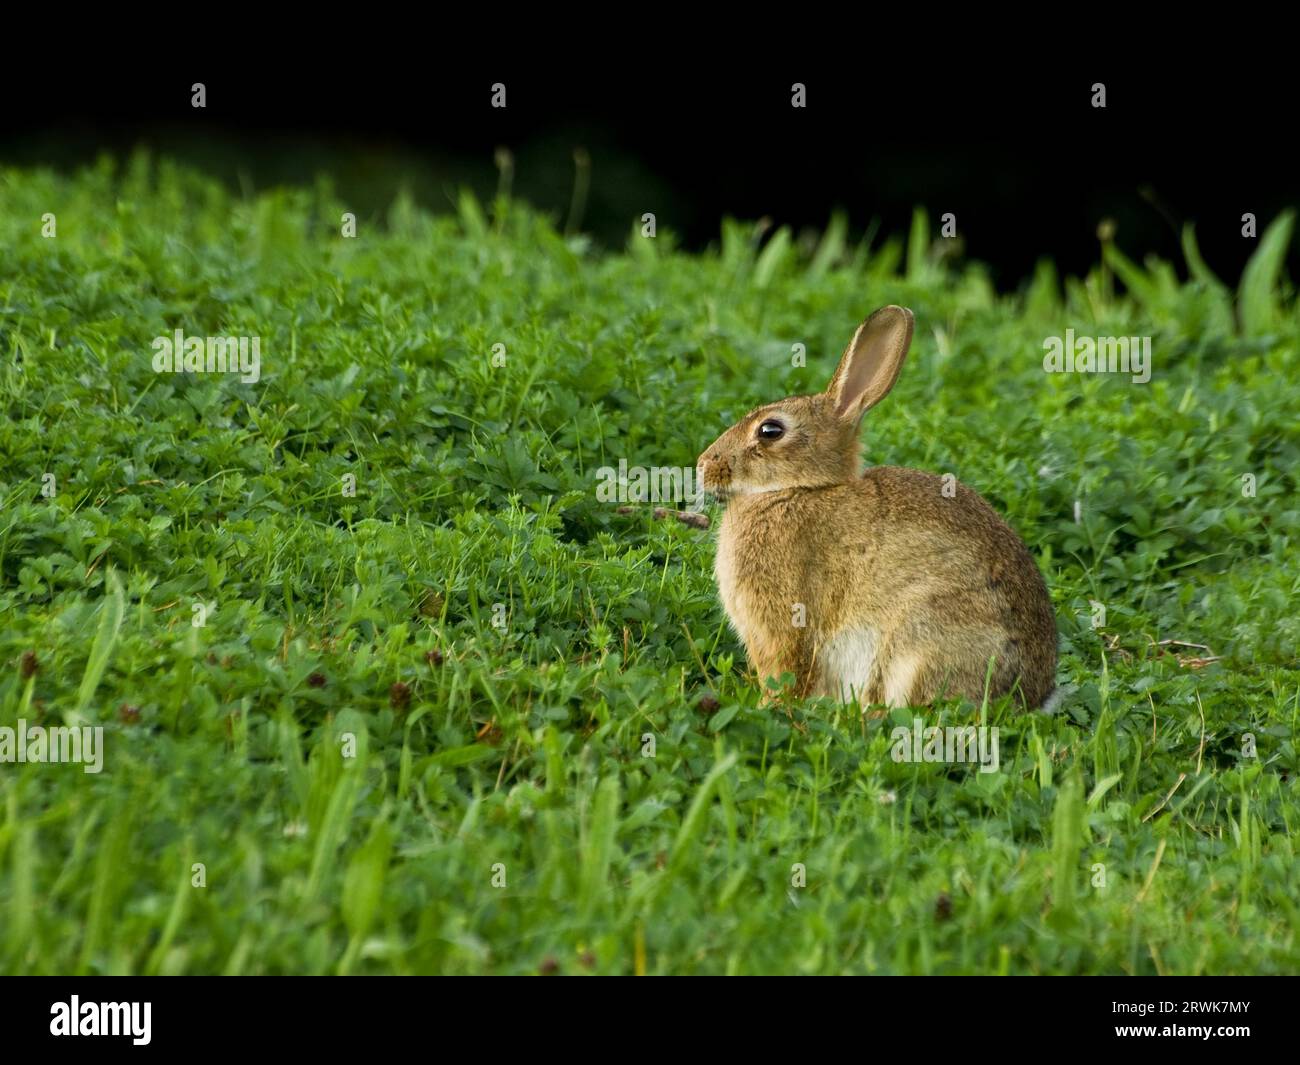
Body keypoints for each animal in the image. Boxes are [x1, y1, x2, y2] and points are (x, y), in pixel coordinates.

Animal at [696, 305, 1057, 709]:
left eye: (770, 431)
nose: (702, 465)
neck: (798, 490)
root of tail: (1034, 696)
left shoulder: (785, 619)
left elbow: (786, 670)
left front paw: (768, 707)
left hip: (917, 642)